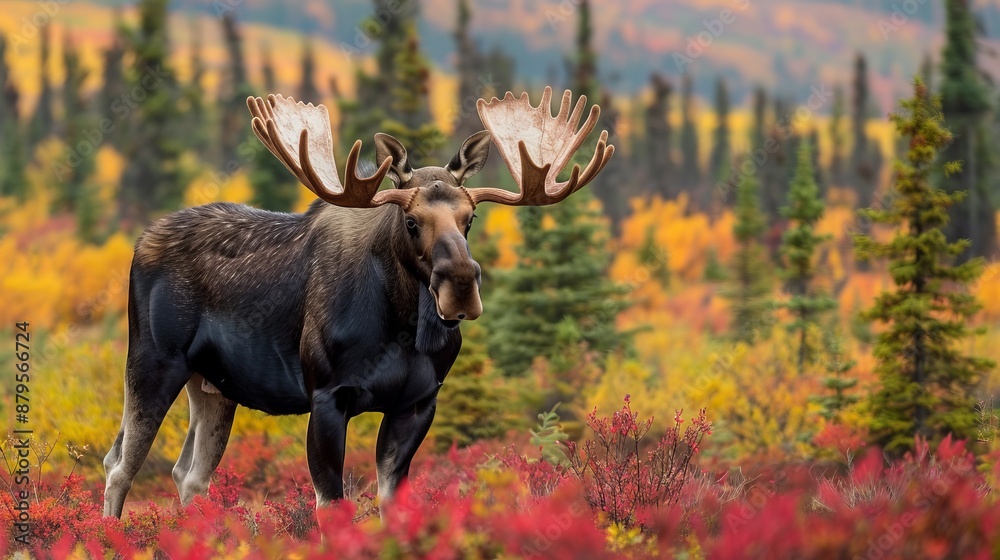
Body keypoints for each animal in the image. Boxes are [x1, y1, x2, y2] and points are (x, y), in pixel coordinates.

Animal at [102, 87, 614, 518]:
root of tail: (140, 242)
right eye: (411, 220)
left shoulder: (417, 403)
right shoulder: (328, 397)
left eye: (470, 218)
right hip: (152, 361)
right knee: (119, 465)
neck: (403, 328)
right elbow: (332, 506)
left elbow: (391, 502)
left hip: (214, 388)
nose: (461, 286)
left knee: (188, 474)